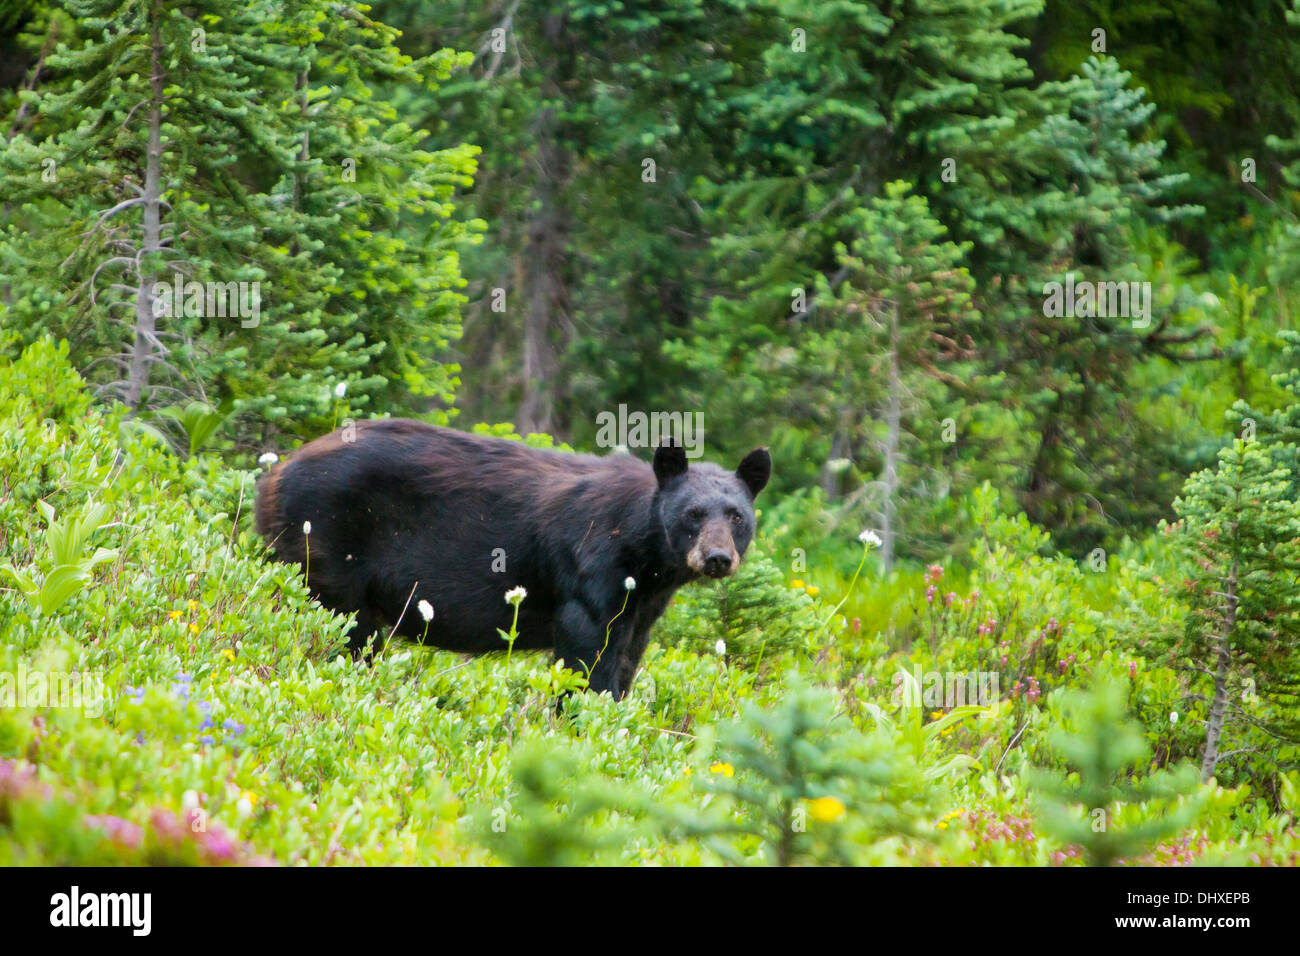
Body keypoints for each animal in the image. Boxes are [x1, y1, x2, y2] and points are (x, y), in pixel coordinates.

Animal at [254, 419, 770, 700]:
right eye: (692, 514)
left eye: (737, 516)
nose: (718, 557)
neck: (647, 558)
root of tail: (273, 474)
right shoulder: (593, 574)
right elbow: (586, 658)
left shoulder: (644, 604)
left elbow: (627, 659)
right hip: (326, 549)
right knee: (343, 631)